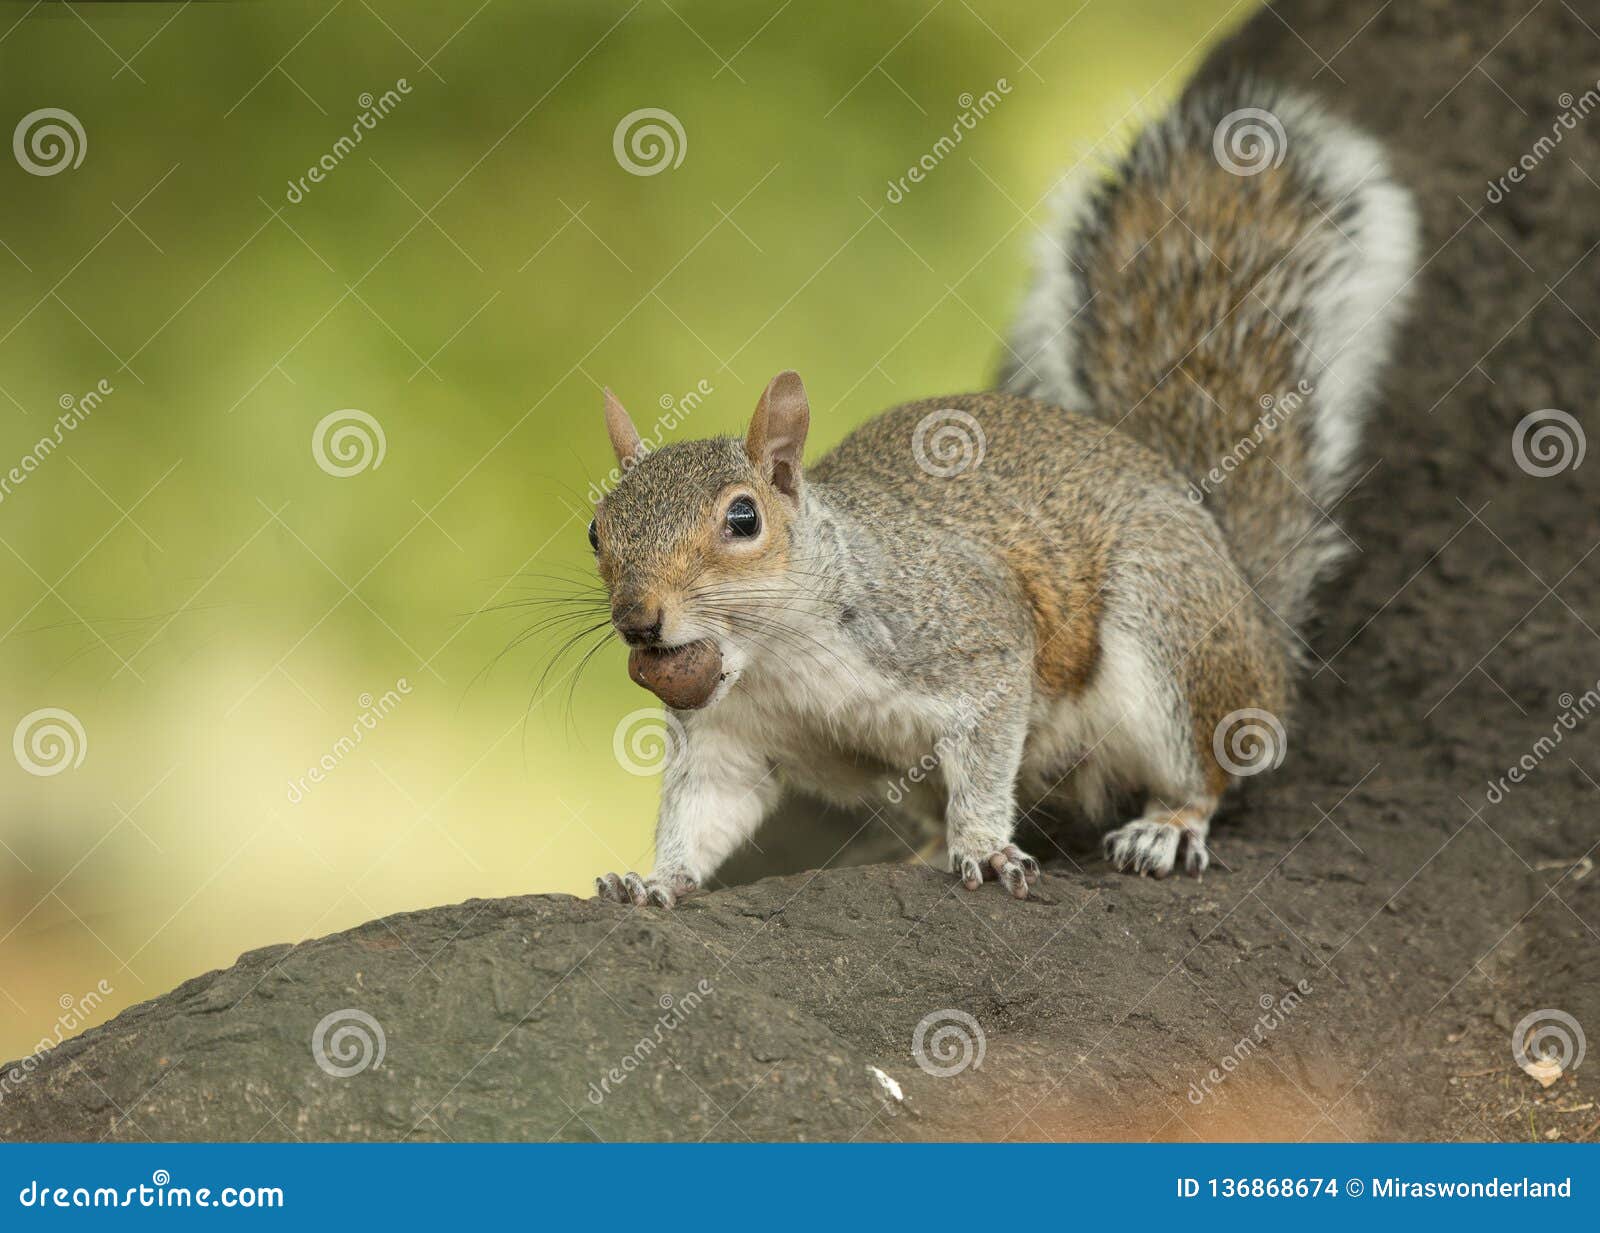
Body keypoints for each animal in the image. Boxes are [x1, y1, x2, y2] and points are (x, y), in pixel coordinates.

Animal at [588, 75, 1418, 907]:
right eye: (596, 531)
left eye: (743, 517)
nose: (637, 620)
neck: (776, 654)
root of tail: (1255, 620)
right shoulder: (730, 736)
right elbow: (705, 811)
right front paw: (652, 880)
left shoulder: (969, 639)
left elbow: (986, 758)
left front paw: (986, 848)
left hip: (1170, 626)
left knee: (1206, 771)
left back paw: (1167, 824)